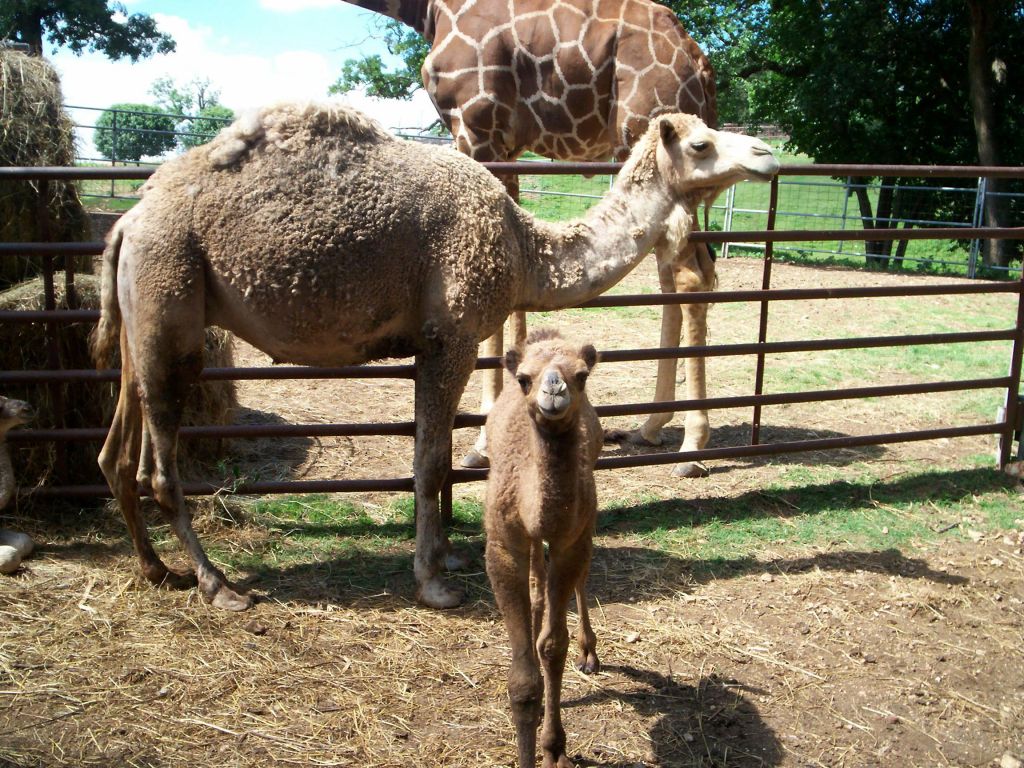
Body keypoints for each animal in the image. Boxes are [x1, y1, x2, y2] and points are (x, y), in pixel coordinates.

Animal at [92, 102, 778, 611]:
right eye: (701, 145)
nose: (768, 155)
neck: (523, 246)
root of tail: (126, 223)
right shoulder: (450, 336)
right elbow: (428, 464)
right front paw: (434, 583)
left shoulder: (439, 344)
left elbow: (441, 458)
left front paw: (446, 554)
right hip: (169, 301)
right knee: (160, 468)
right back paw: (218, 585)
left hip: (143, 321)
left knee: (116, 452)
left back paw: (158, 570)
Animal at [339, 0, 724, 477]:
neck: (427, 11)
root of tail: (698, 60)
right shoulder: (508, 146)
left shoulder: (477, 125)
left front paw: (482, 441)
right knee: (674, 273)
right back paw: (650, 426)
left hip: (650, 131)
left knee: (690, 277)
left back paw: (693, 447)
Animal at [485, 328, 602, 768]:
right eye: (523, 378)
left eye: (582, 375)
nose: (554, 389)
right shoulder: (503, 545)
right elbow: (523, 678)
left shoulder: (571, 538)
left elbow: (554, 647)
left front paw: (554, 747)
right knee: (536, 588)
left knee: (580, 577)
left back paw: (590, 653)